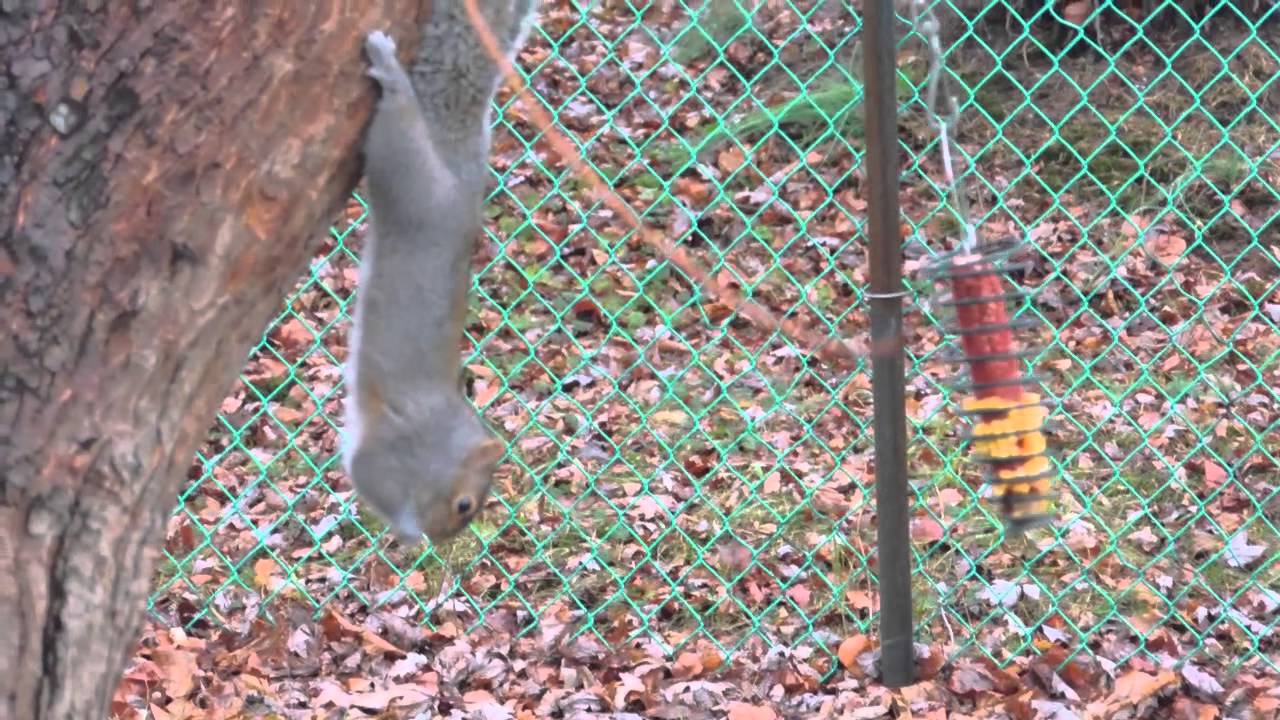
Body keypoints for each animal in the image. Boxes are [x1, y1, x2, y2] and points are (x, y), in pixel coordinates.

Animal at [343, 1, 535, 543]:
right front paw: (409, 533)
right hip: (413, 182)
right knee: (398, 129)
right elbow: (364, 473)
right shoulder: (390, 450)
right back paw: (392, 73)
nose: (443, 540)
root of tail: (461, 164)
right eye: (464, 504)